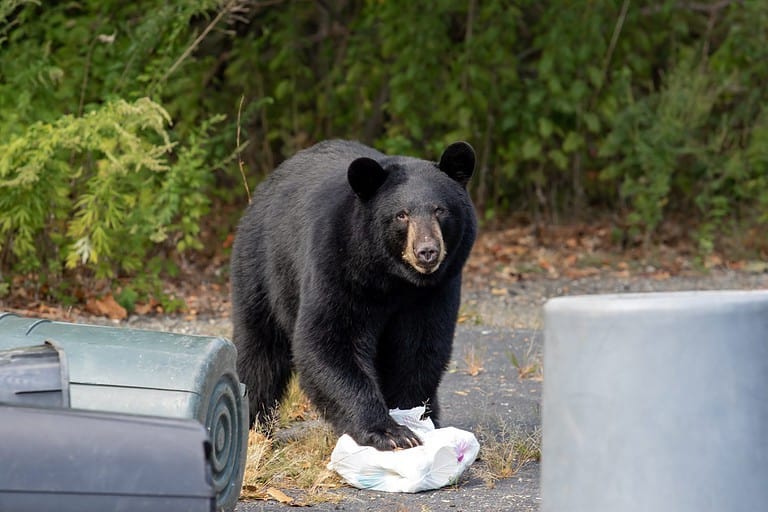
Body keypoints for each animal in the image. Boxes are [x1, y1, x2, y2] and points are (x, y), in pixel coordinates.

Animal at [230, 139, 477, 450]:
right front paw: (390, 432)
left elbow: (419, 348)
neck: (393, 278)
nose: (427, 251)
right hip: (263, 268)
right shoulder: (338, 267)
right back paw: (254, 427)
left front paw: (412, 417)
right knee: (259, 351)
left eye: (440, 210)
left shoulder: (435, 290)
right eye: (402, 214)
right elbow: (329, 341)